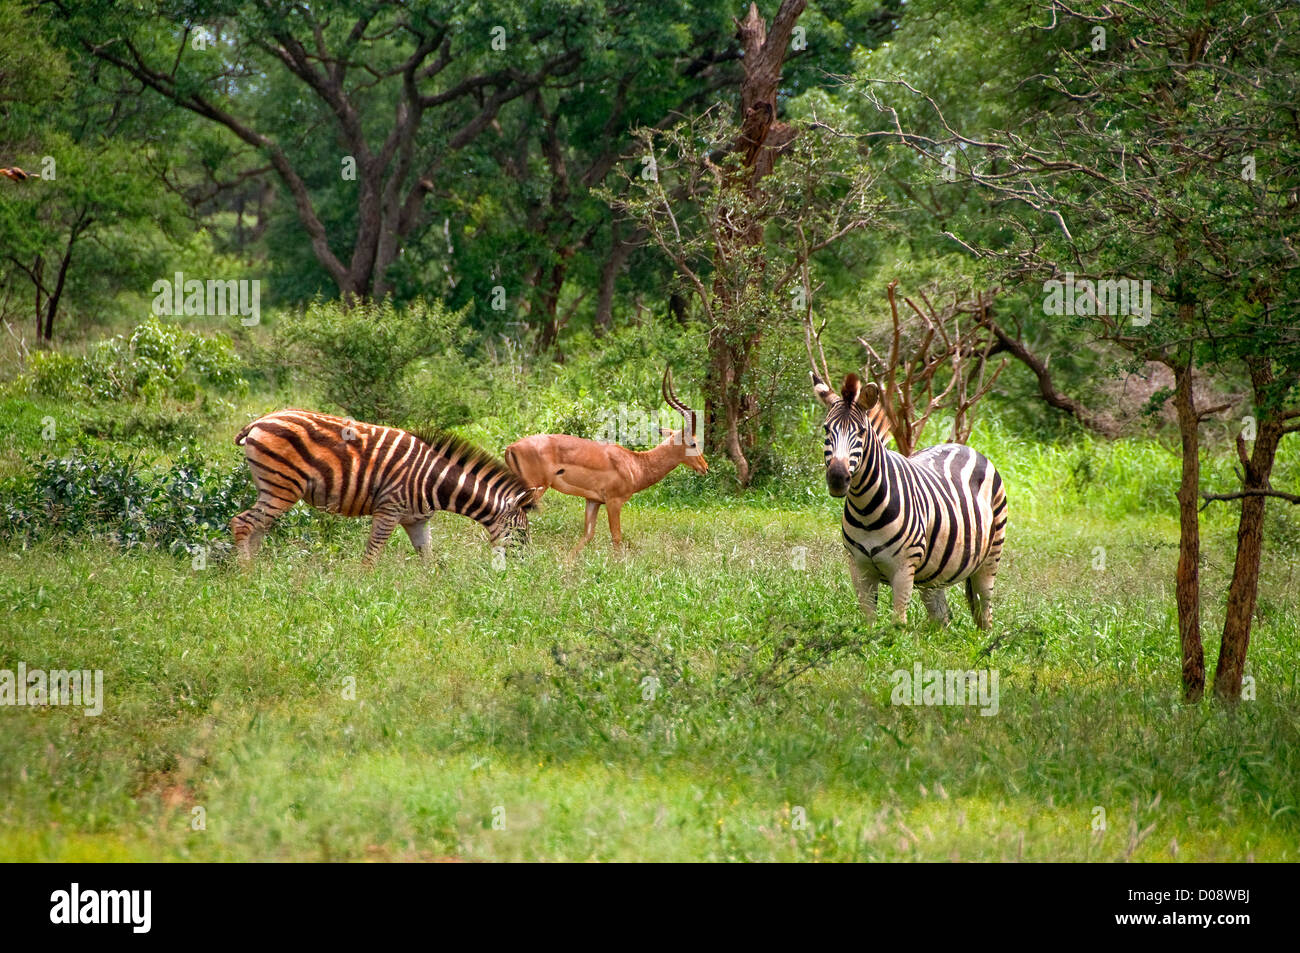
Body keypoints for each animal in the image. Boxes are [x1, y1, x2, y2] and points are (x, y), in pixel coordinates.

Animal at [230, 410, 531, 566]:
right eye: (521, 532)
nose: (526, 569)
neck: (434, 482)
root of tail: (260, 420)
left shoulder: (417, 521)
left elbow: (428, 560)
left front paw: (432, 594)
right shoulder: (388, 510)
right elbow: (371, 557)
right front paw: (363, 593)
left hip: (272, 488)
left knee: (257, 528)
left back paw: (260, 575)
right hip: (282, 488)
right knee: (242, 523)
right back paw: (247, 575)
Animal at [504, 367, 708, 557]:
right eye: (693, 443)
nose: (705, 467)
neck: (635, 464)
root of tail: (511, 447)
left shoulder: (593, 501)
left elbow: (587, 535)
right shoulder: (614, 502)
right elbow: (616, 536)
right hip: (535, 489)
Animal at [811, 372, 1007, 628]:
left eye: (862, 431)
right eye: (827, 428)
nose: (837, 478)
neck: (865, 510)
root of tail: (962, 446)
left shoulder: (903, 569)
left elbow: (898, 623)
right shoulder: (859, 568)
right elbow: (868, 623)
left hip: (990, 556)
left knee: (985, 612)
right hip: (934, 572)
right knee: (940, 616)